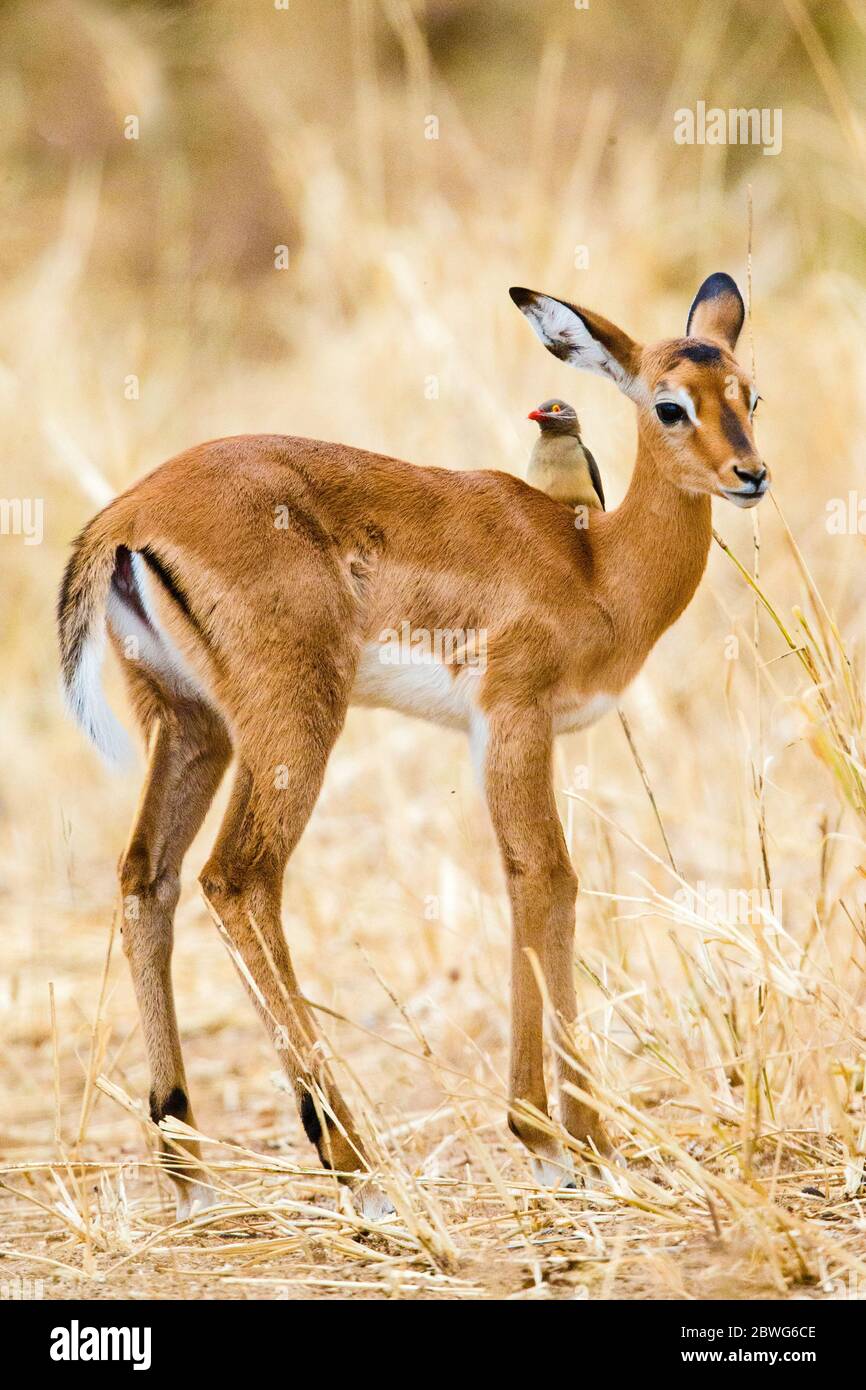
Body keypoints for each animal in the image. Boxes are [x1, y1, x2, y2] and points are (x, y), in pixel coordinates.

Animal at [58, 272, 767, 1219]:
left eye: (748, 393)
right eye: (669, 404)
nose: (751, 475)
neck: (594, 567)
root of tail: (127, 517)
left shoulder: (496, 732)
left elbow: (535, 885)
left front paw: (570, 1139)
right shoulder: (513, 717)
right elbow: (546, 880)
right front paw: (562, 1142)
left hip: (190, 729)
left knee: (148, 879)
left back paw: (192, 1172)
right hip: (293, 724)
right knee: (238, 879)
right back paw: (355, 1166)